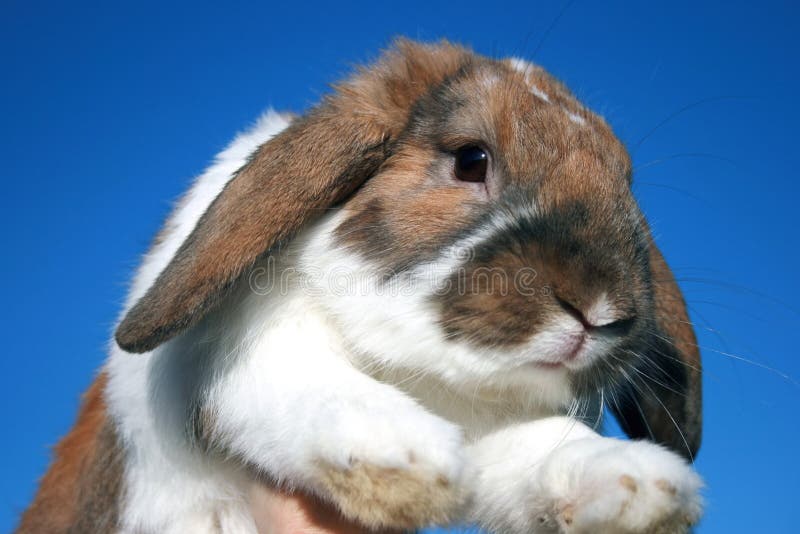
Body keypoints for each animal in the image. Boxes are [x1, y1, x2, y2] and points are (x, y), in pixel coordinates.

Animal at [19, 39, 703, 534]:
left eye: (625, 184)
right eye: (471, 159)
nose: (601, 312)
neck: (411, 368)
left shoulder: (498, 428)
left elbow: (536, 449)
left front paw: (639, 482)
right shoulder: (230, 357)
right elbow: (290, 376)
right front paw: (404, 456)